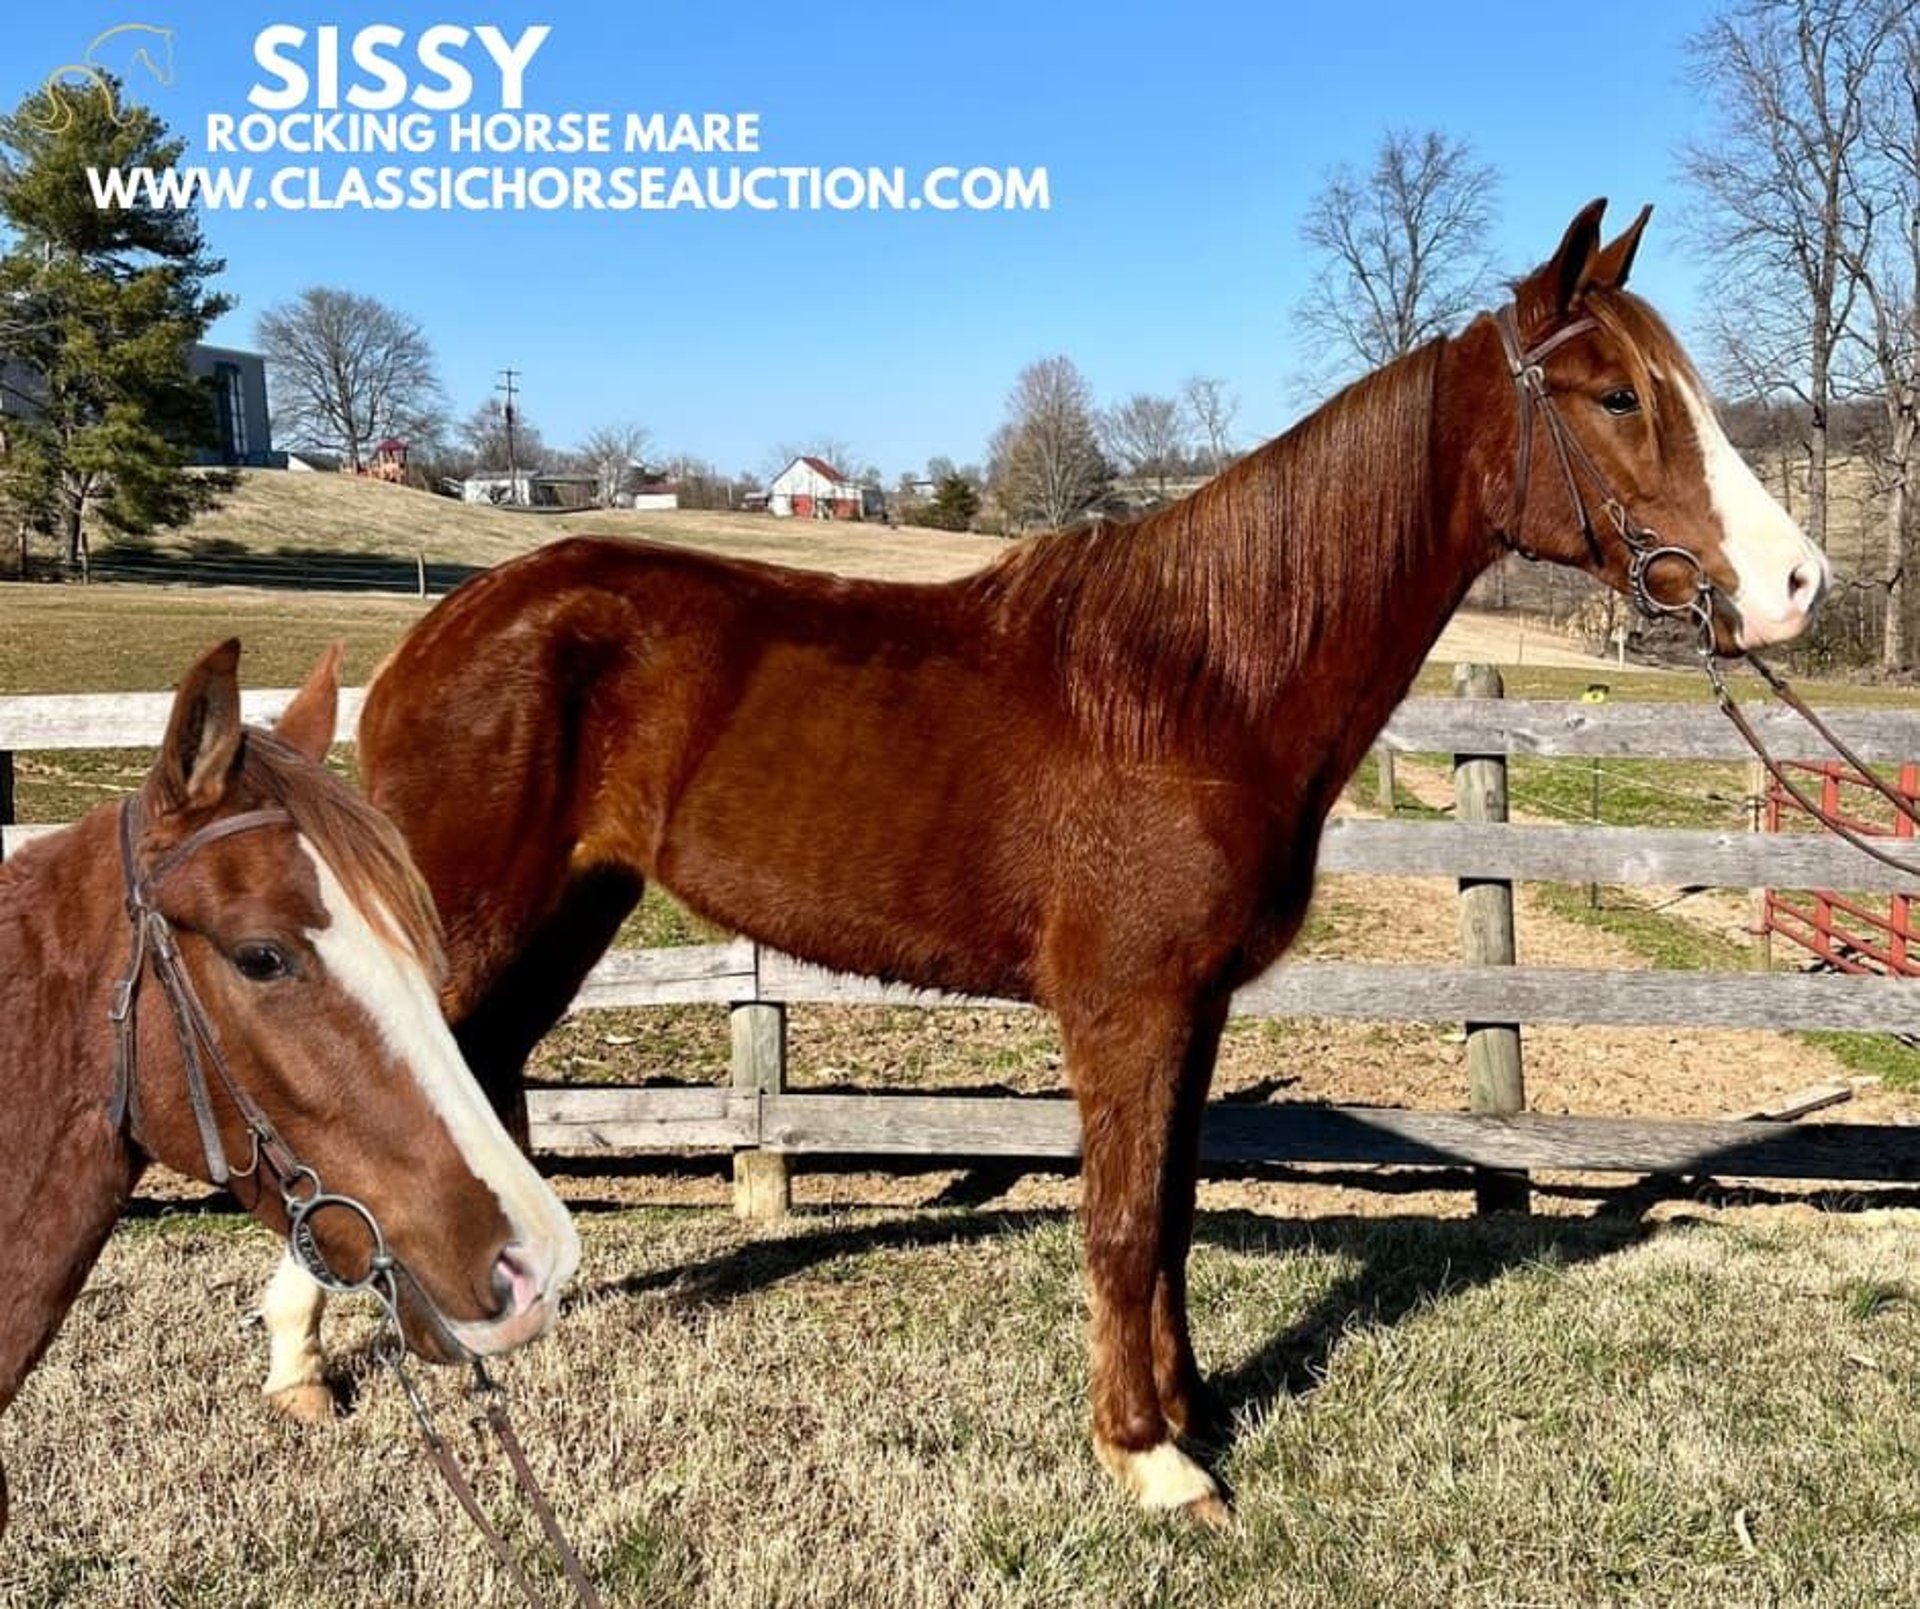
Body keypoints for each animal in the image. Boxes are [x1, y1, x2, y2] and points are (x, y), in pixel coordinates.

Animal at [280, 200, 1825, 1521]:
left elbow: (1177, 1212)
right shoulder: (1123, 1009)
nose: (1798, 582)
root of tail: (436, 635)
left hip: (563, 915)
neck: (1202, 680)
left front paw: (1192, 1412)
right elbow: (1124, 1222)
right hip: (480, 922)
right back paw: (307, 1366)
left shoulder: (1191, 1011)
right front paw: (1151, 1459)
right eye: (1617, 396)